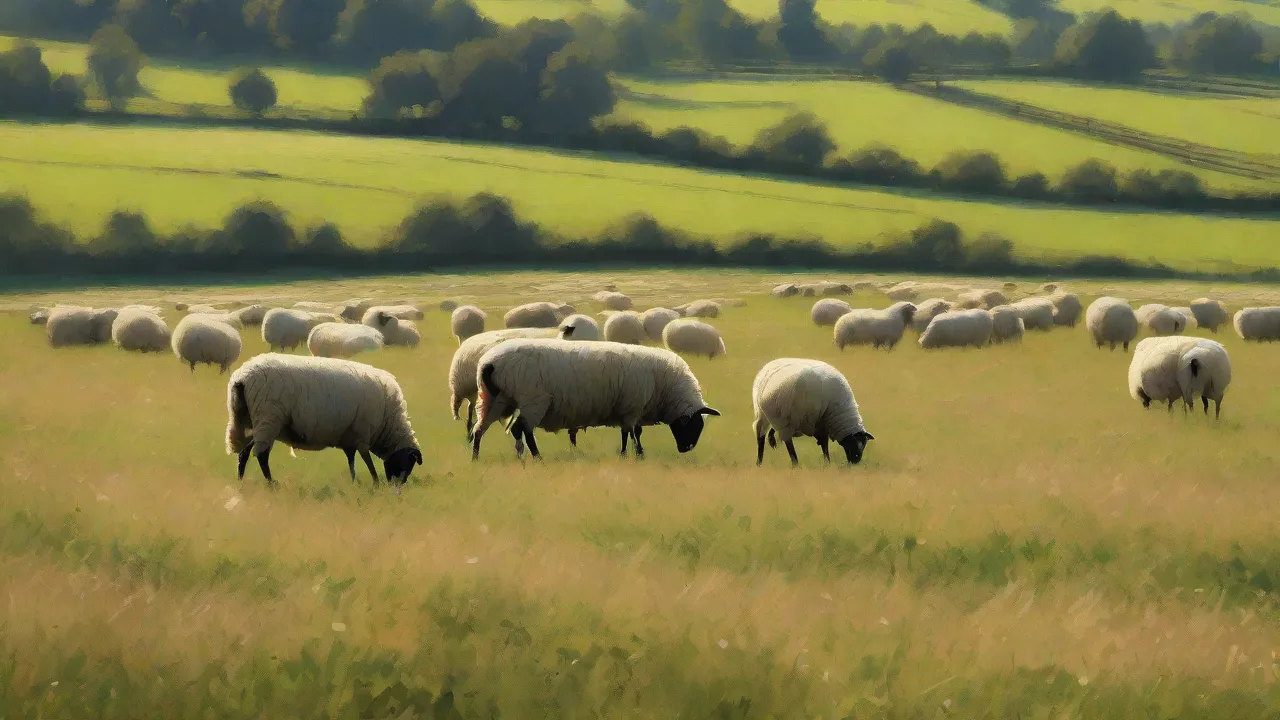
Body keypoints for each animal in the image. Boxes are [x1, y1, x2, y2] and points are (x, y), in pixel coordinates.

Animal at [225, 353, 423, 487]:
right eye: (409, 463)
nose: (397, 488)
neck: (387, 424)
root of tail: (242, 377)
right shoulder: (362, 433)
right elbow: (367, 460)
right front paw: (375, 483)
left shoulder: (349, 436)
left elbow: (351, 460)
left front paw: (355, 482)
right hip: (269, 417)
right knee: (261, 454)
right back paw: (271, 484)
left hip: (248, 420)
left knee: (244, 452)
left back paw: (240, 481)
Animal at [469, 339, 720, 460]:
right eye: (693, 425)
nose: (686, 449)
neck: (665, 389)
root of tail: (490, 362)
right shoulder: (632, 407)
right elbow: (630, 433)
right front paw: (632, 455)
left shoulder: (631, 409)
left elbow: (631, 432)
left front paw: (632, 453)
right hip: (534, 399)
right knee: (523, 429)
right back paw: (537, 457)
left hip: (495, 399)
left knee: (479, 429)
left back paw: (476, 458)